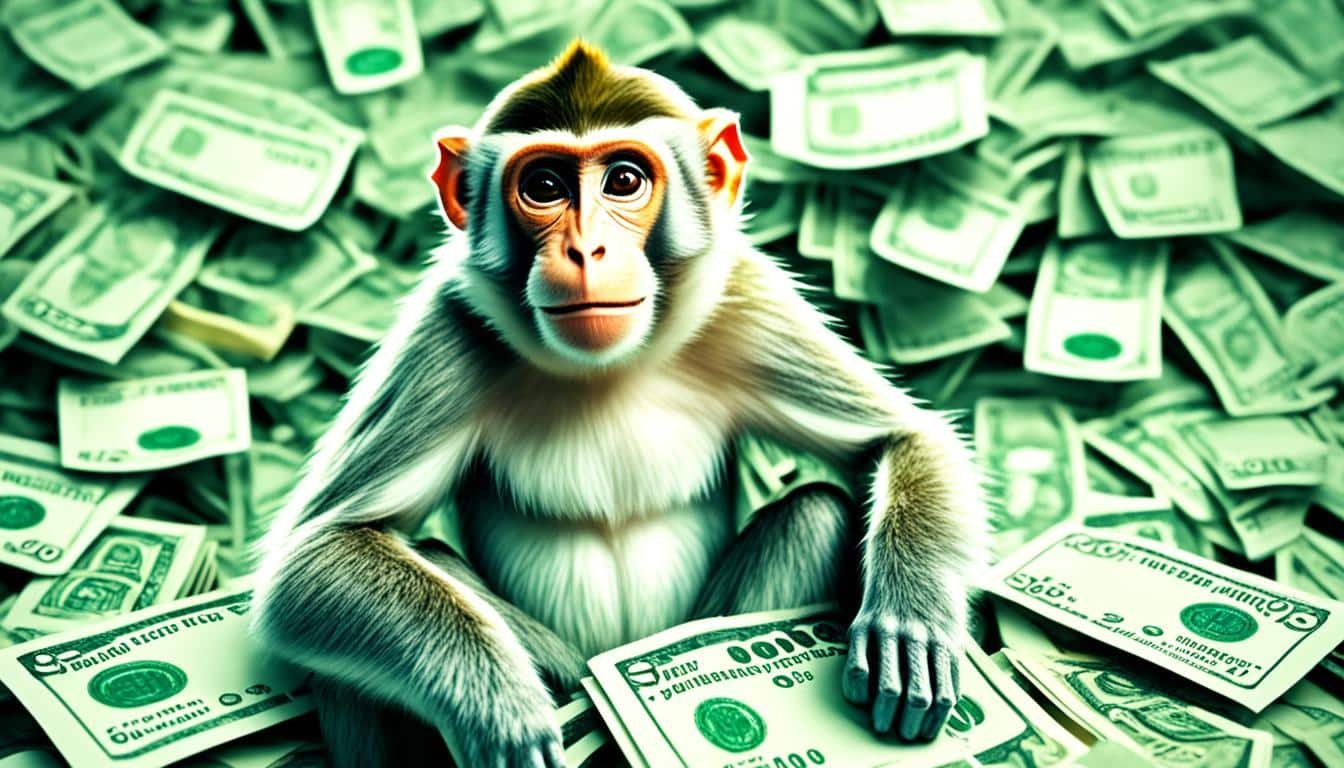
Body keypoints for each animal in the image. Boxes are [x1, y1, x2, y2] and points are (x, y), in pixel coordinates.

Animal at [250, 41, 987, 768]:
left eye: (625, 181)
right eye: (545, 187)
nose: (586, 249)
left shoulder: (744, 303)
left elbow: (902, 438)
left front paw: (910, 624)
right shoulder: (447, 336)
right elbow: (313, 556)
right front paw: (496, 702)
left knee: (815, 514)